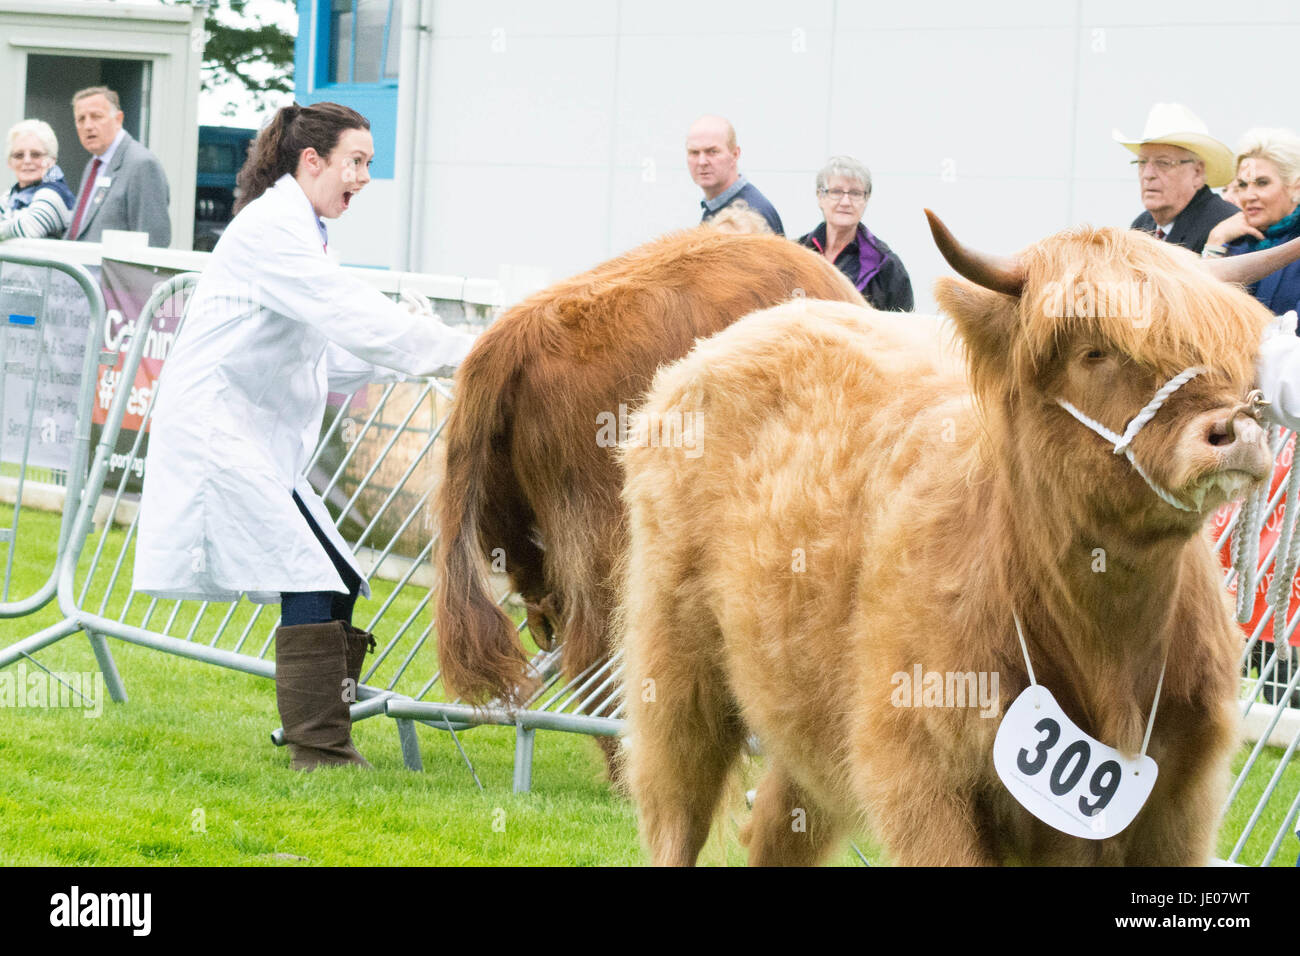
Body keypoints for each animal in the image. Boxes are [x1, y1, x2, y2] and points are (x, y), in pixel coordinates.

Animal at [616, 213, 1300, 865]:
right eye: (1094, 352)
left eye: (1226, 346)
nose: (1235, 431)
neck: (1106, 642)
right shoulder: (922, 776)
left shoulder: (1181, 802)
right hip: (676, 667)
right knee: (675, 813)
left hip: (803, 712)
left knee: (777, 828)